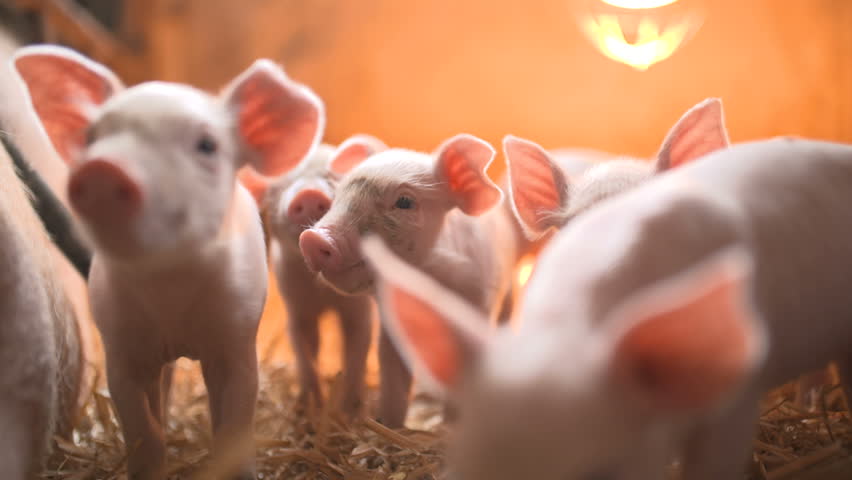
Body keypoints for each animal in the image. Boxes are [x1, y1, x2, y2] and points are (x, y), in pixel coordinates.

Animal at [13, 45, 324, 480]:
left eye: (207, 145)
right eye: (93, 138)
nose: (102, 168)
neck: (169, 287)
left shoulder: (237, 337)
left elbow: (235, 419)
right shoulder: (121, 347)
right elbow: (142, 427)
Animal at [238, 135, 385, 415]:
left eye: (331, 177)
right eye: (281, 187)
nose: (307, 193)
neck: (322, 293)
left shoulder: (358, 308)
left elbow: (356, 346)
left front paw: (347, 410)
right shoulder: (296, 306)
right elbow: (305, 348)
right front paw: (311, 405)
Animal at [299, 134, 517, 427]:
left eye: (404, 202)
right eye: (340, 194)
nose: (314, 238)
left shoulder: (479, 301)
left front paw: (451, 426)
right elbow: (393, 377)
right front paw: (387, 424)